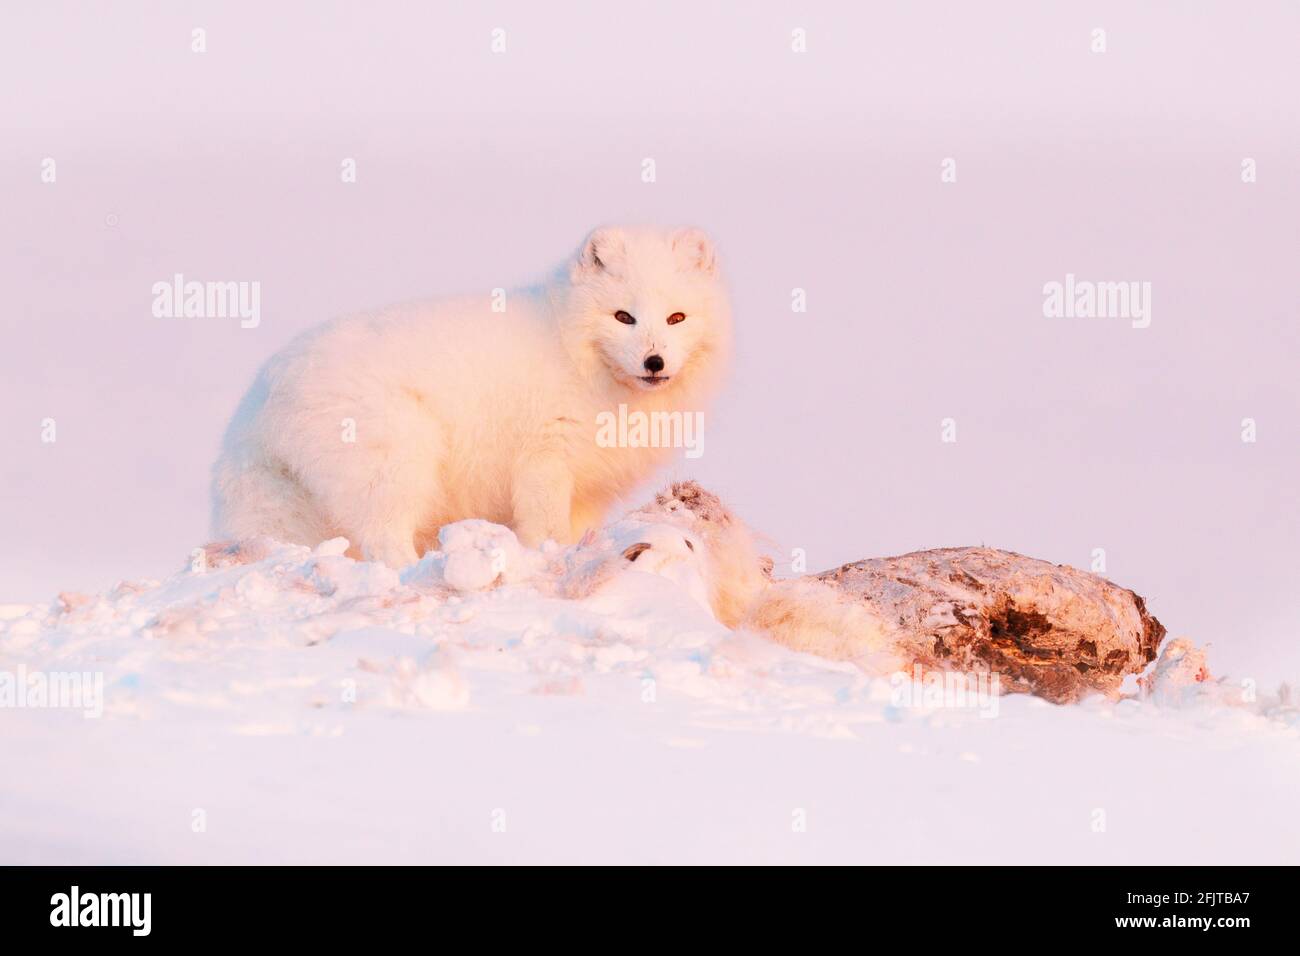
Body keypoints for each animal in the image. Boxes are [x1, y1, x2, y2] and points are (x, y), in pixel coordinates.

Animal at [211, 226, 732, 567]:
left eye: (677, 318)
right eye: (623, 317)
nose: (654, 362)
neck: (572, 349)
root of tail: (260, 397)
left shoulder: (587, 486)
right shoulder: (544, 460)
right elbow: (546, 529)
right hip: (397, 465)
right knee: (382, 540)